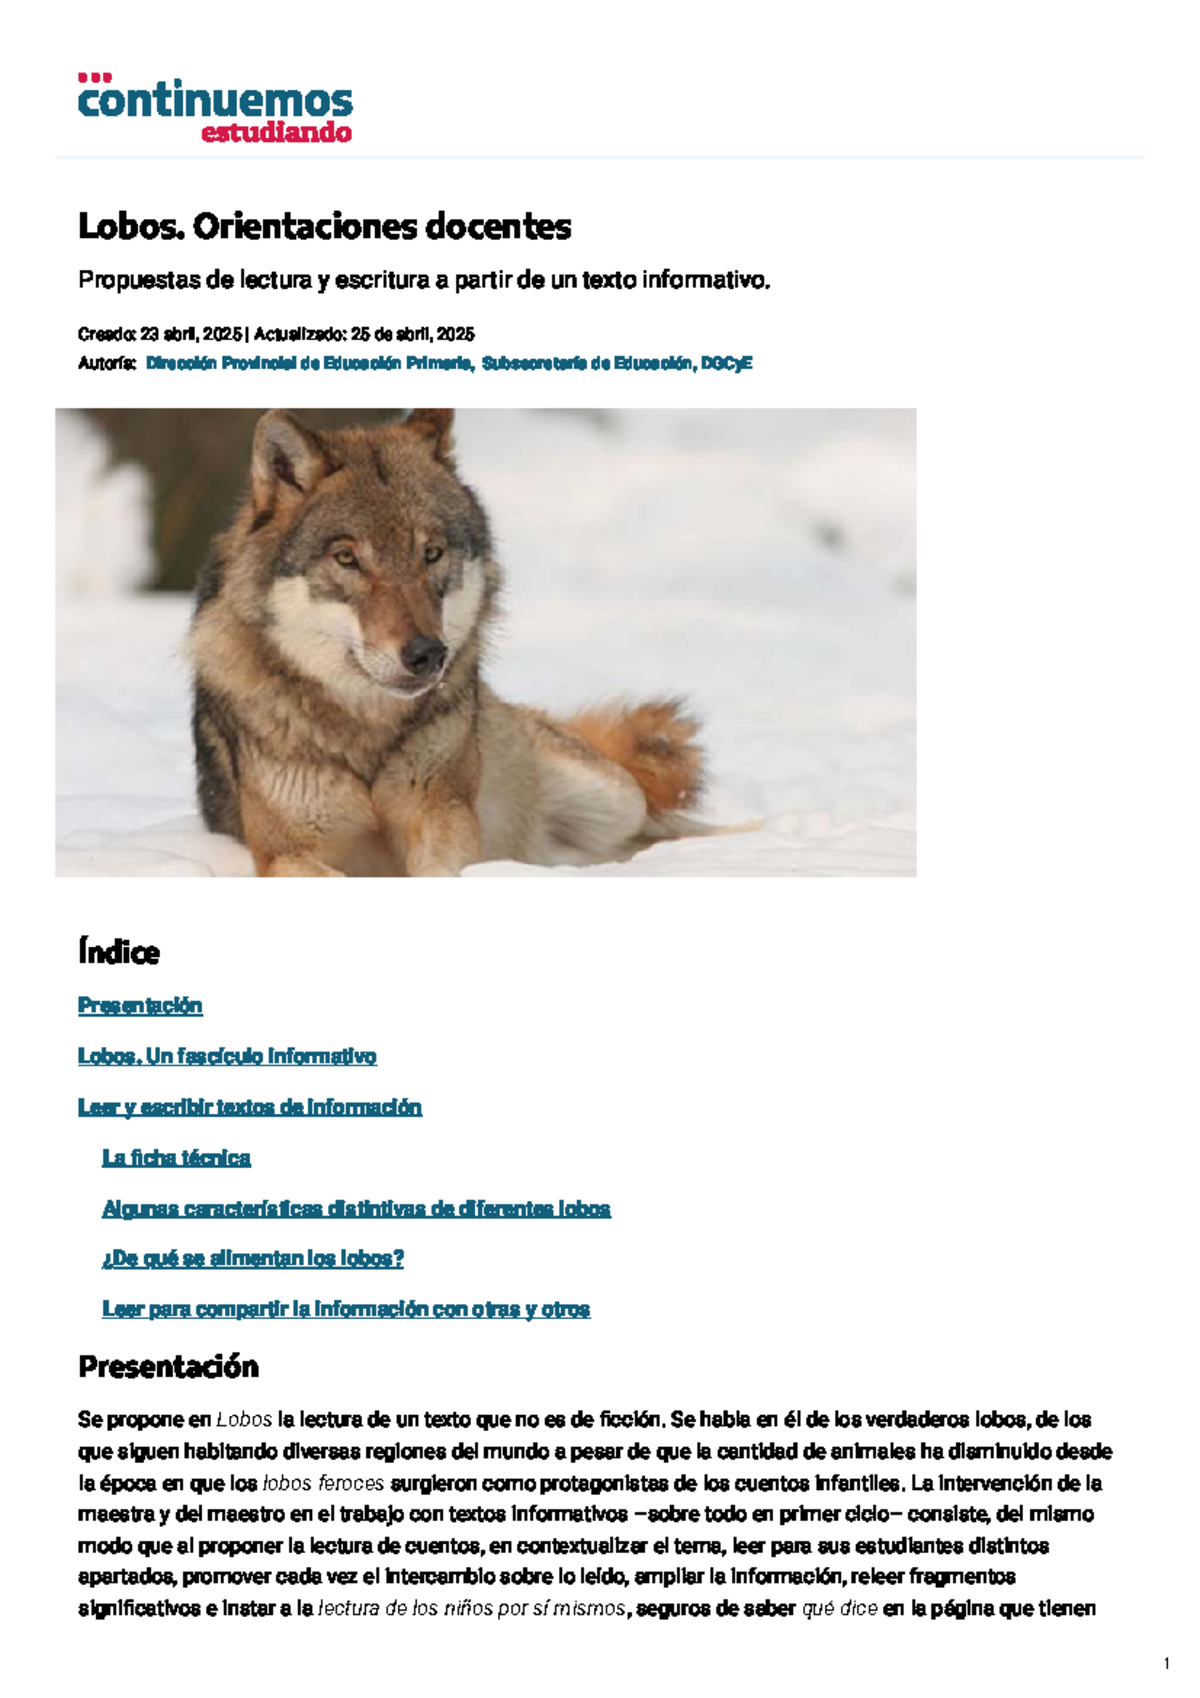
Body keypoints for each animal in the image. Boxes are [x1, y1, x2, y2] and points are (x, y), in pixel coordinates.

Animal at [191, 409, 707, 876]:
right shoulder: (285, 852)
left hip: (620, 797)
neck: (367, 738)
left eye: (431, 553)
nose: (427, 654)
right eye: (347, 558)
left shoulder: (443, 814)